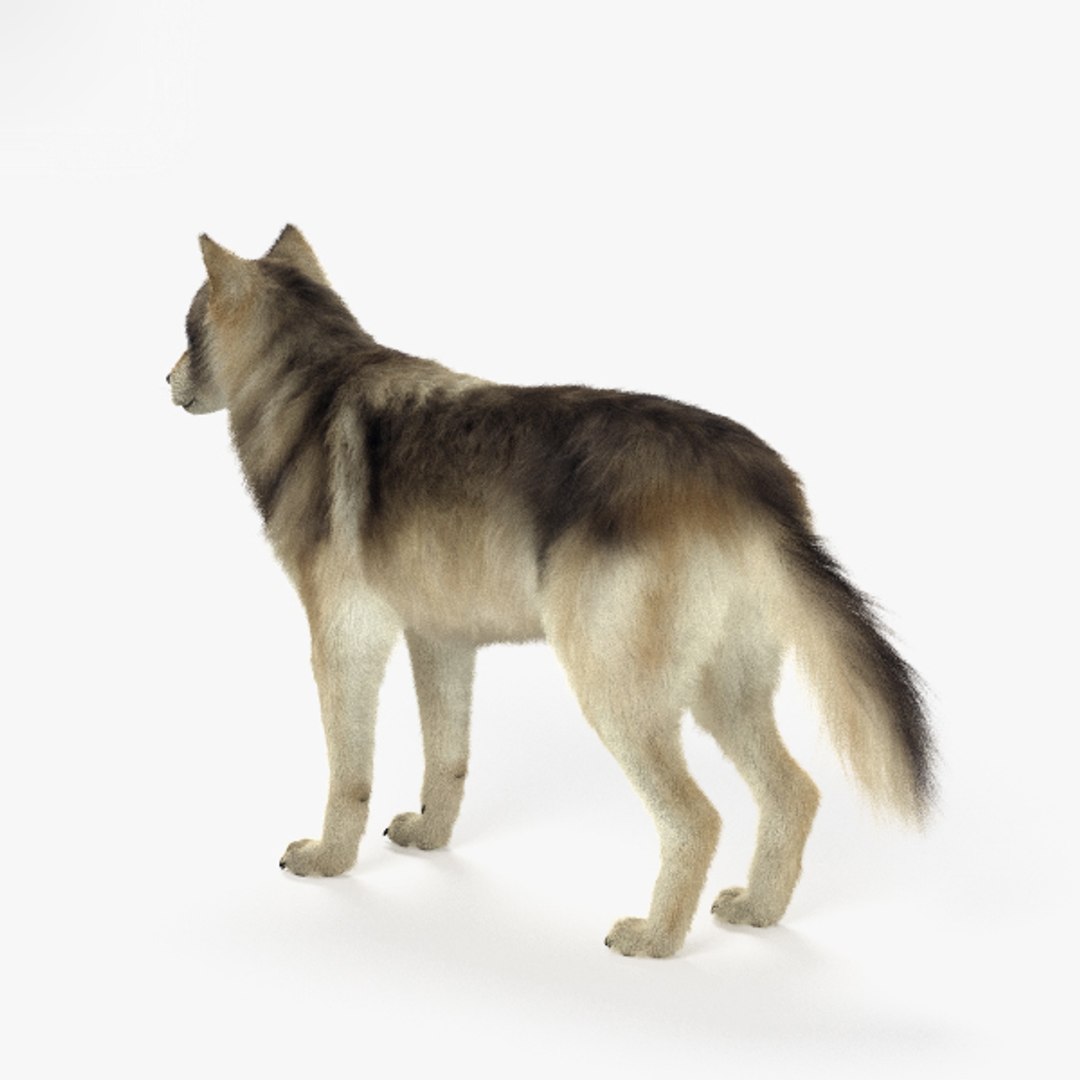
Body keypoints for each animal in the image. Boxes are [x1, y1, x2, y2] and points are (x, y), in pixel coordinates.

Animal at [168, 226, 933, 958]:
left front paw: (329, 859)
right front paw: (430, 840)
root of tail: (746, 474)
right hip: (720, 697)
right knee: (795, 793)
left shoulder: (344, 644)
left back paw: (656, 940)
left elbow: (348, 774)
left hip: (618, 698)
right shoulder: (441, 643)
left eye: (186, 330)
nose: (164, 378)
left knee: (698, 819)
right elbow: (447, 760)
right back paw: (759, 911)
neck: (309, 384)